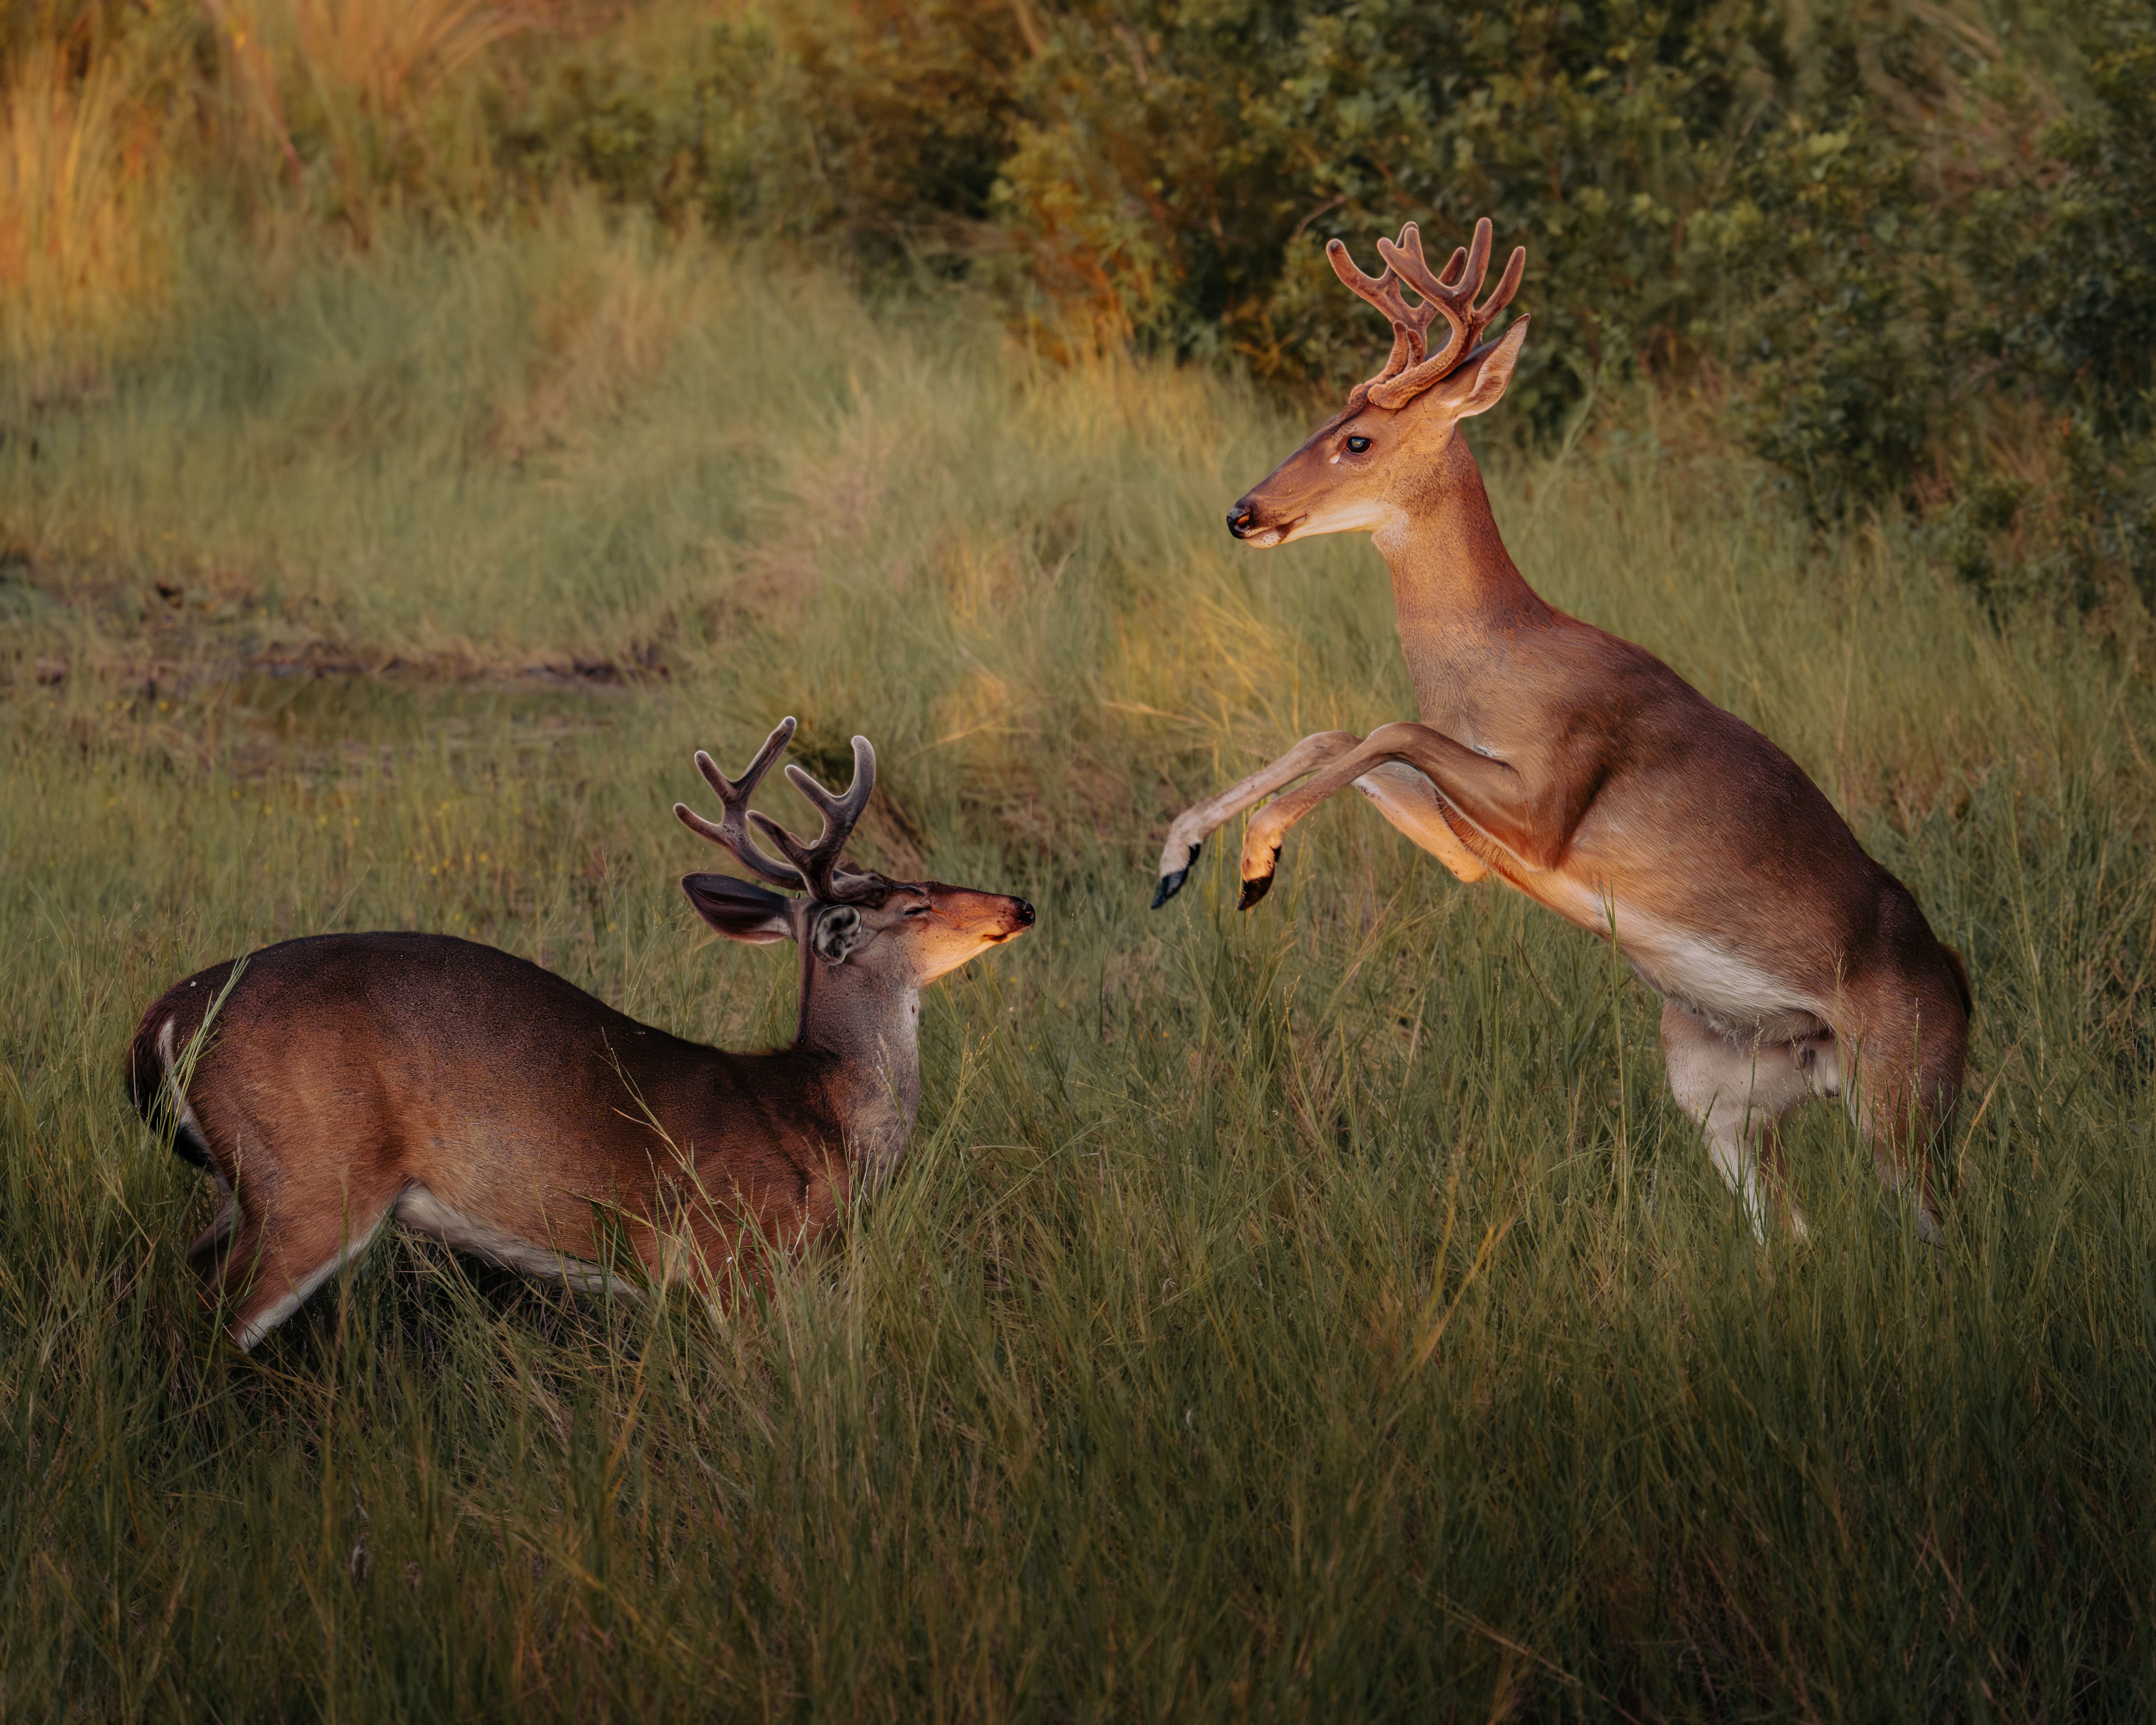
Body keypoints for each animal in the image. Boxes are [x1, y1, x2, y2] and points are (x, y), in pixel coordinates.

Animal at [128, 717, 1034, 1349]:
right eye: (914, 902)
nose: (1018, 905)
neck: (820, 1118)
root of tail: (164, 1018)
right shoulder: (727, 1262)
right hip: (314, 1177)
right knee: (206, 1324)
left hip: (245, 1180)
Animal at [1152, 218, 1970, 1241]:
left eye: (1357, 438)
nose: (1243, 513)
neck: (1503, 657)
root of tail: (1967, 997)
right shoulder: (1476, 845)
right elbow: (1339, 738)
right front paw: (1179, 858)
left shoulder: (1551, 801)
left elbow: (1384, 725)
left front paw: (1255, 864)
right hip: (1718, 1091)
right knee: (1794, 1234)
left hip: (1901, 1093)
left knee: (1949, 1234)